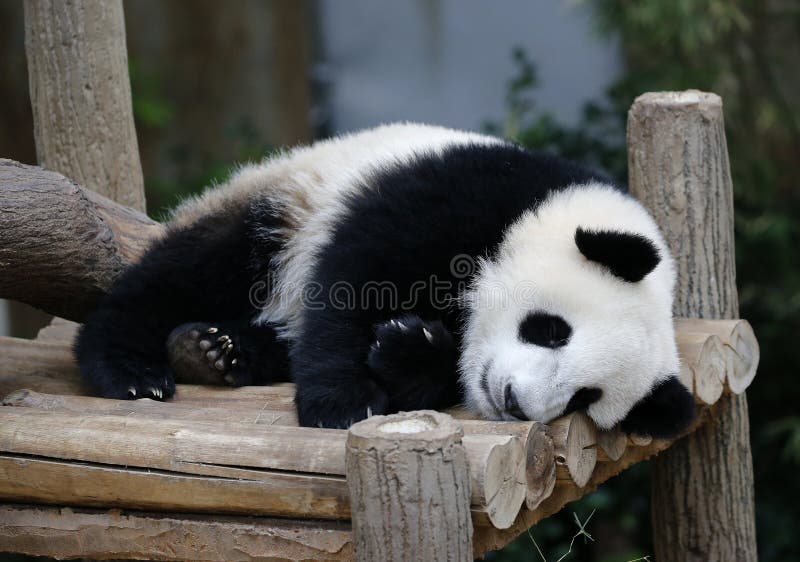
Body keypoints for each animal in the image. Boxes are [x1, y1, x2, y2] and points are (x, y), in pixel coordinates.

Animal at [75, 123, 695, 436]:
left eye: (585, 399)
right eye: (550, 330)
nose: (515, 403)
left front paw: (409, 349)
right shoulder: (460, 196)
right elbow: (356, 276)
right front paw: (341, 401)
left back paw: (218, 350)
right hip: (288, 205)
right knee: (199, 266)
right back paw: (133, 368)